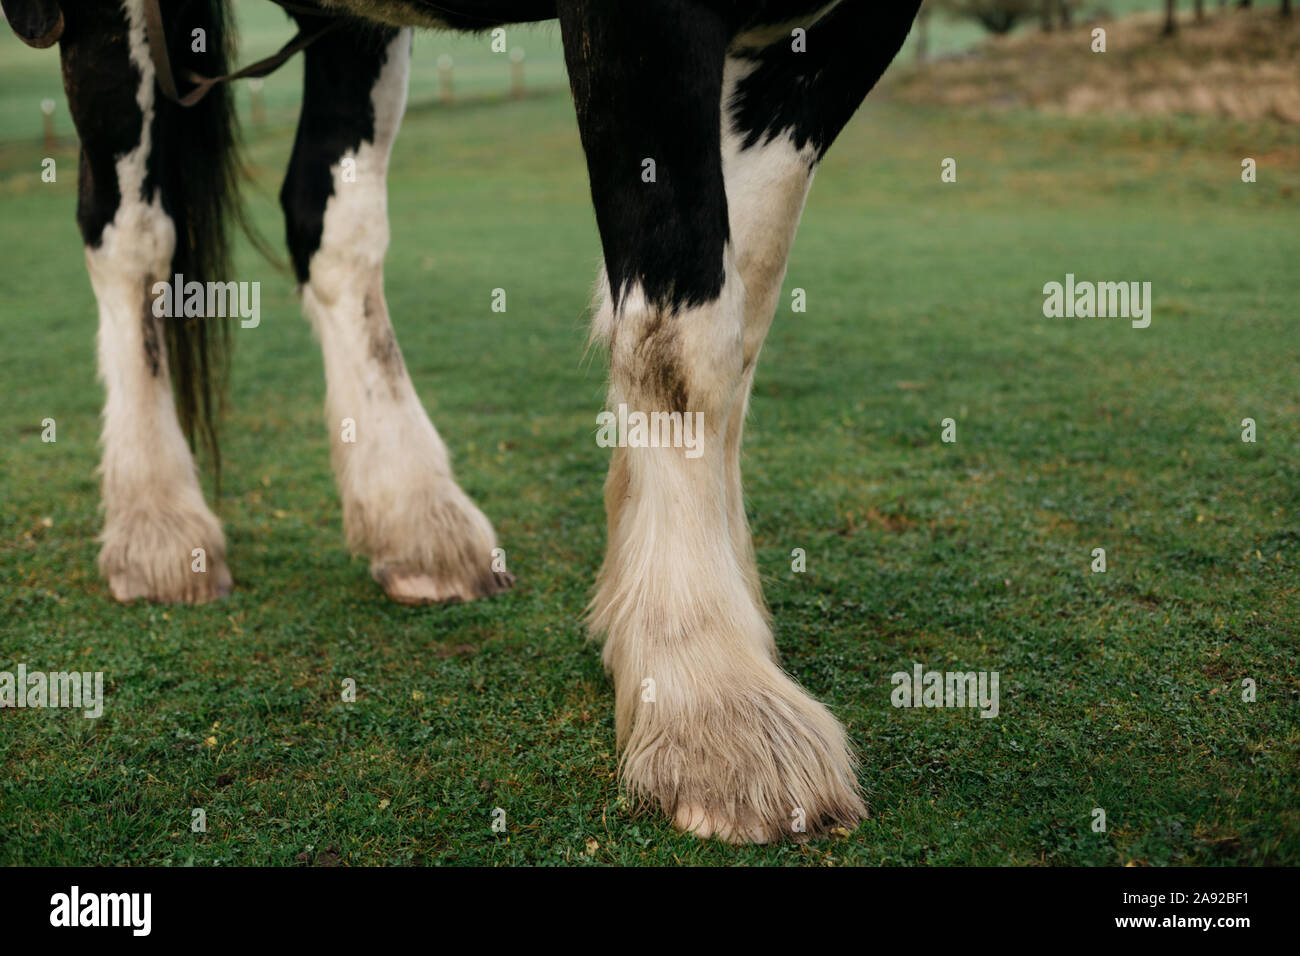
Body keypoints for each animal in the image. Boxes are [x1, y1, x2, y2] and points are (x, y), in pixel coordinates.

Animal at [22, 0, 921, 843]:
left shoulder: (843, 38)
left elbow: (747, 304)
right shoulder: (641, 19)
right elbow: (685, 343)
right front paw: (713, 698)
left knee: (328, 218)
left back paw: (413, 517)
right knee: (128, 229)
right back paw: (156, 519)